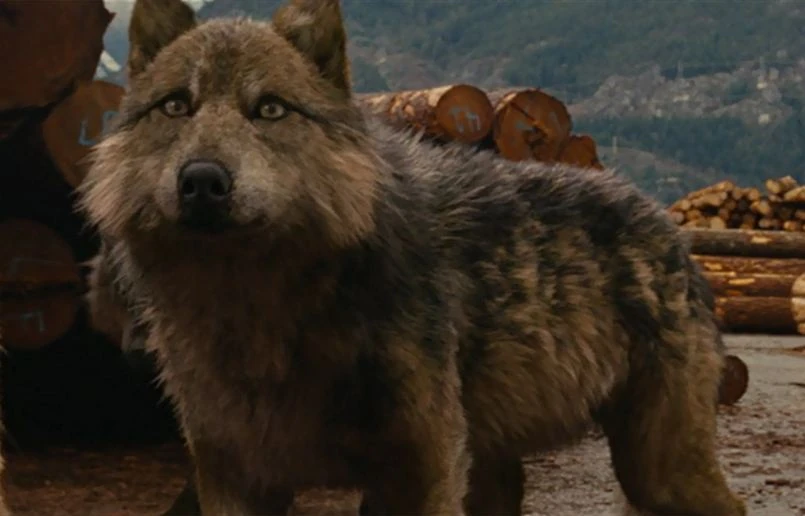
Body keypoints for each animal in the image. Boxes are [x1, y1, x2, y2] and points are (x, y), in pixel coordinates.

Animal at [78, 0, 745, 514]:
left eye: (268, 109)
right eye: (175, 106)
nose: (202, 181)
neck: (257, 308)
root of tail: (664, 220)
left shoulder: (420, 466)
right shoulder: (235, 477)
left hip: (657, 471)